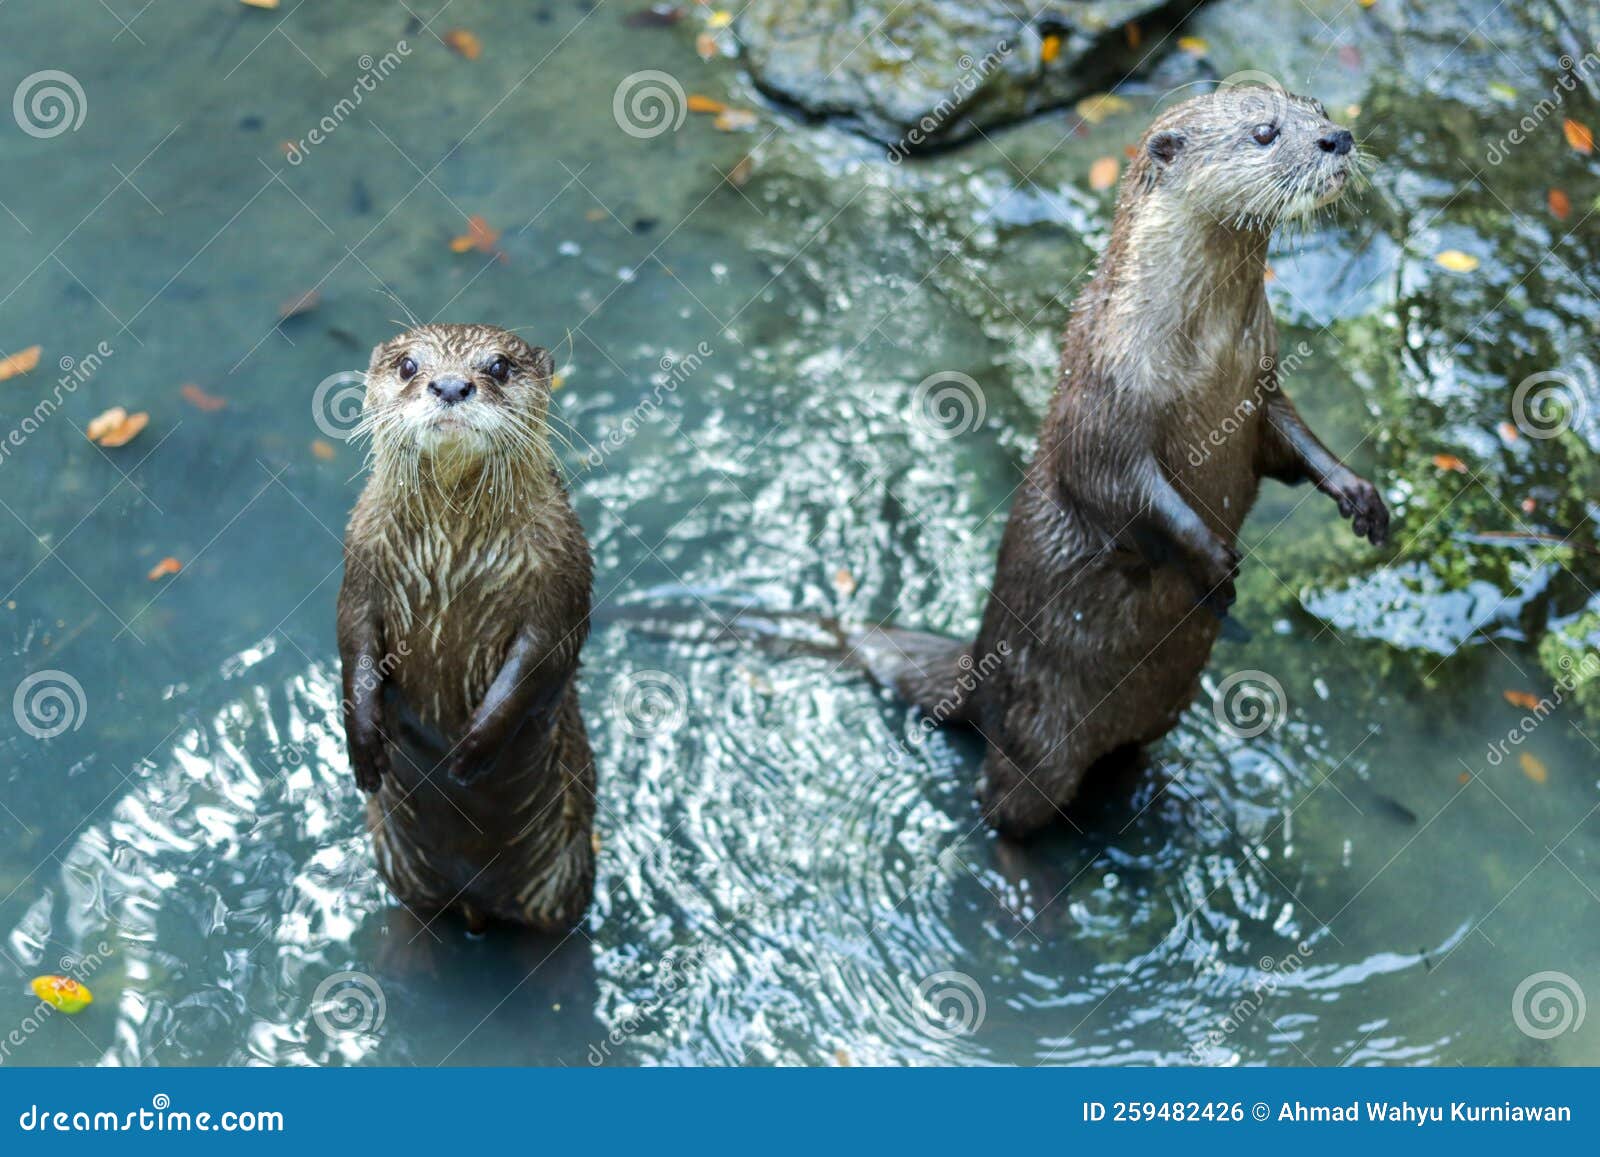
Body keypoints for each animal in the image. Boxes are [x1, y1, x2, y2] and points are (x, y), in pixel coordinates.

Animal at [336, 323, 595, 930]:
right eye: (408, 366)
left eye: (498, 367)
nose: (451, 385)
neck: (453, 558)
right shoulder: (361, 560)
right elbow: (354, 643)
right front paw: (363, 741)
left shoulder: (563, 573)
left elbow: (540, 659)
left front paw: (475, 746)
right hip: (406, 880)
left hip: (563, 886)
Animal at [854, 87, 1390, 838]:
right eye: (1264, 133)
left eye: (1316, 106)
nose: (1338, 138)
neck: (1206, 353)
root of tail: (978, 663)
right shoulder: (1106, 401)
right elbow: (1120, 490)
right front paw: (1216, 566)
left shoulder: (1261, 384)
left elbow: (1292, 443)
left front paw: (1358, 494)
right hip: (1038, 729)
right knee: (1006, 807)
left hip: (1161, 710)